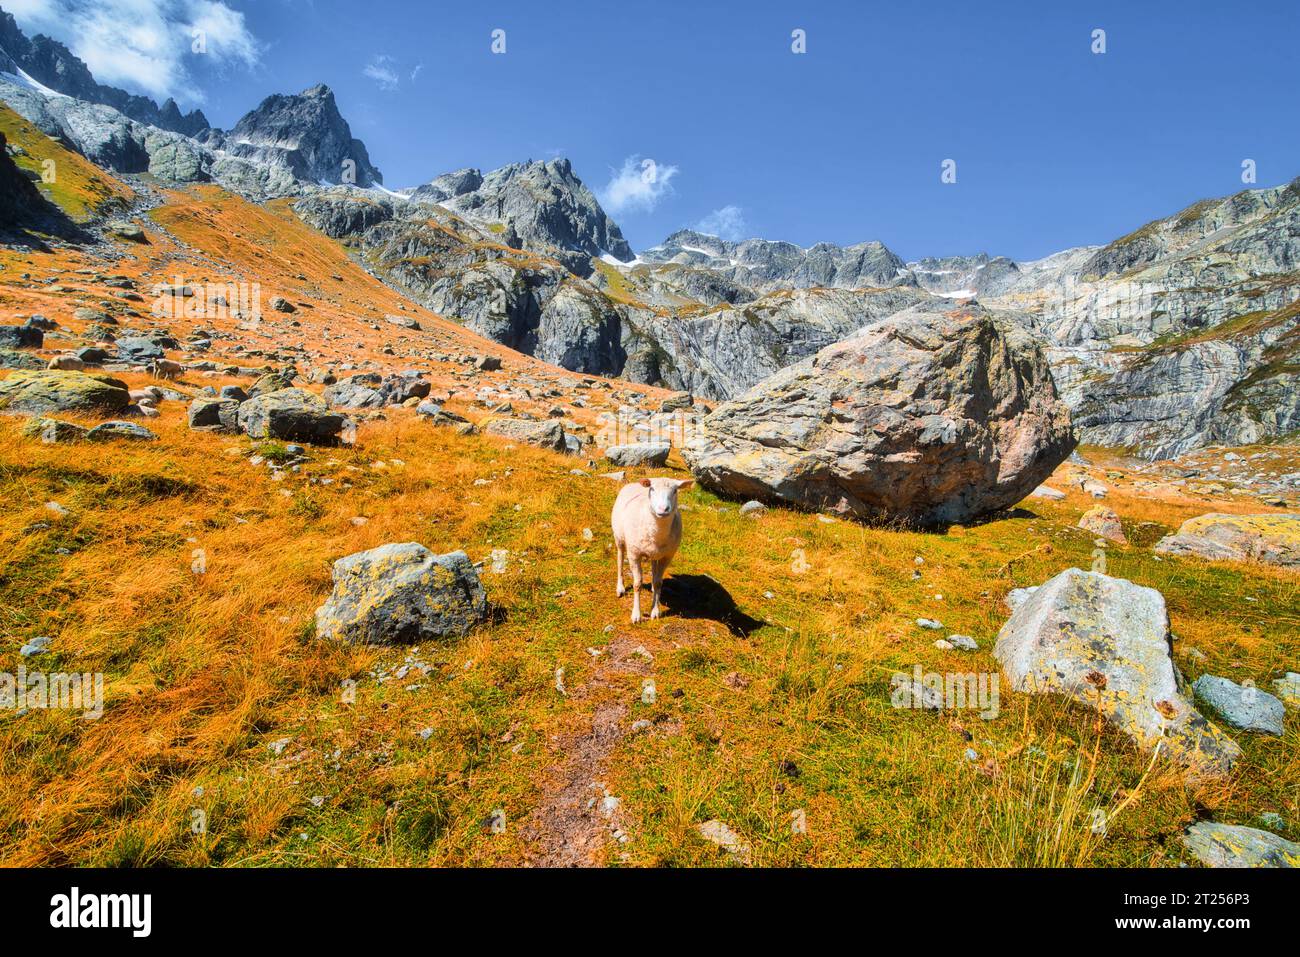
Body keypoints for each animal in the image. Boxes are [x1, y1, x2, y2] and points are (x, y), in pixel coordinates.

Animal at [611, 477, 693, 623]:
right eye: (652, 489)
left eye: (675, 490)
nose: (663, 509)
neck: (657, 532)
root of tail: (633, 483)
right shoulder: (634, 554)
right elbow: (637, 584)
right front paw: (636, 615)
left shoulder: (667, 556)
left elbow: (659, 582)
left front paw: (655, 611)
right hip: (619, 538)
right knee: (620, 559)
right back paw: (620, 588)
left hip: (655, 554)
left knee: (654, 570)